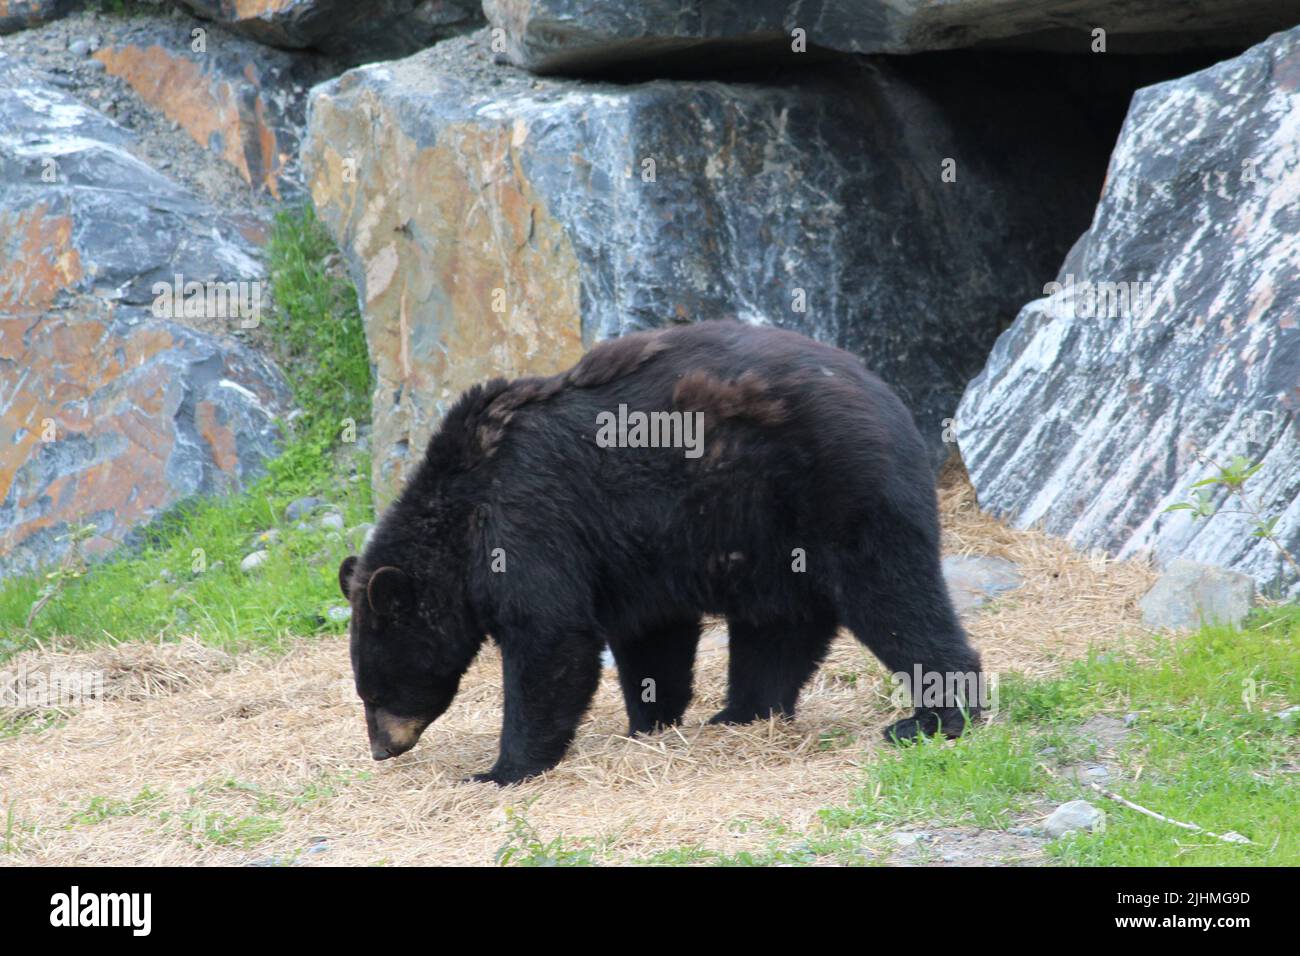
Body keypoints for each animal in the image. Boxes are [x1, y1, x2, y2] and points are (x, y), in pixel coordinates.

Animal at [338, 319, 983, 785]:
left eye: (375, 689)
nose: (380, 749)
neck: (461, 508)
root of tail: (889, 398)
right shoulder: (629, 554)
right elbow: (651, 638)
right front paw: (649, 724)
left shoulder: (526, 521)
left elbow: (550, 637)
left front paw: (501, 769)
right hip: (768, 535)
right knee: (778, 627)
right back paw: (741, 713)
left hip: (841, 491)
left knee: (893, 596)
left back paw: (933, 718)